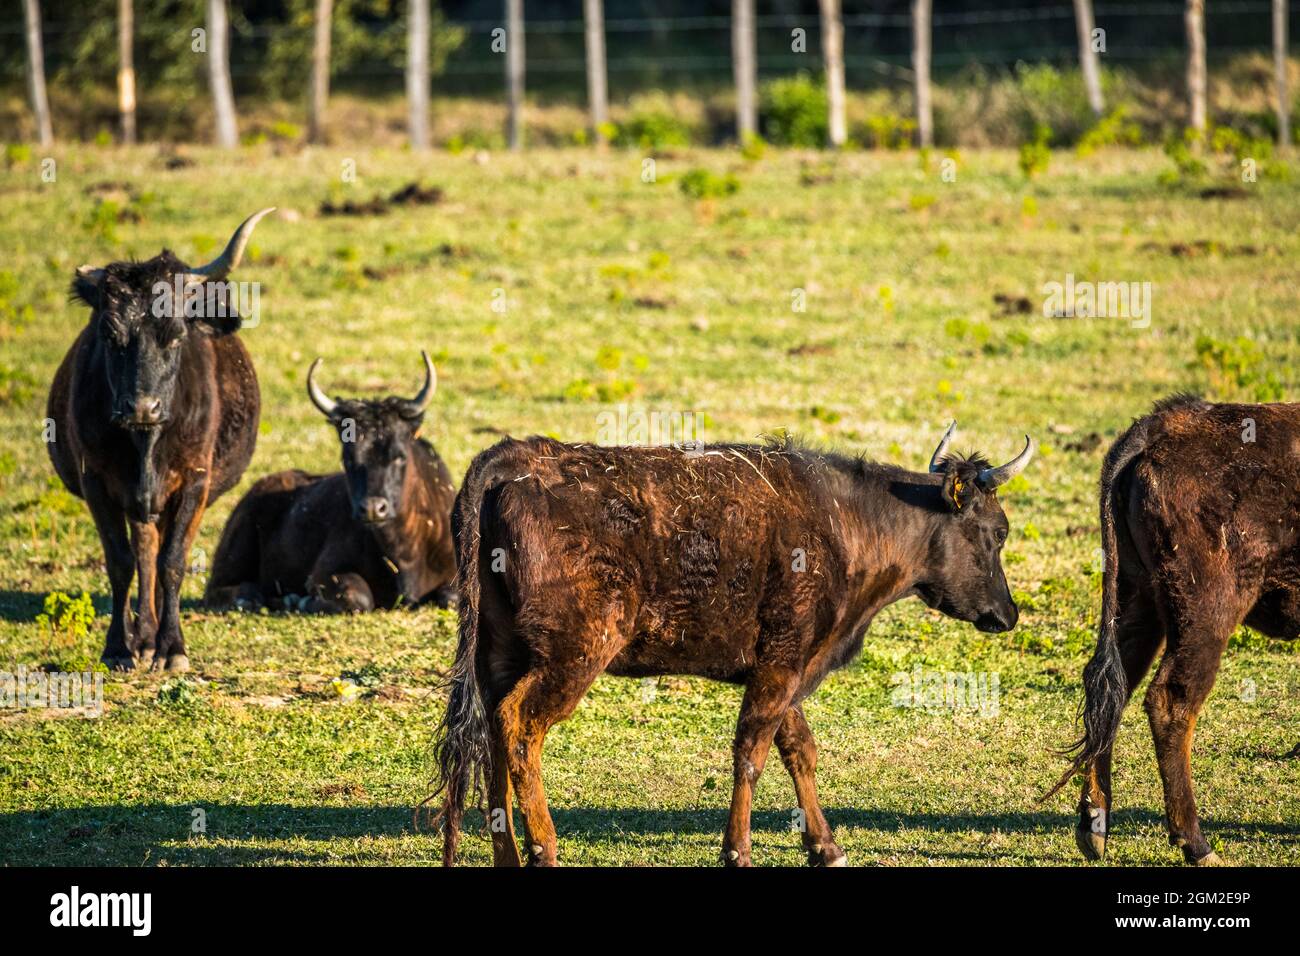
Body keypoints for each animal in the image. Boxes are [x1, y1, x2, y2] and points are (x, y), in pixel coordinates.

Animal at [47, 209, 275, 672]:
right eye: (109, 334)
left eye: (176, 334)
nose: (141, 407)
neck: (146, 442)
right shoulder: (96, 481)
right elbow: (121, 561)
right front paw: (120, 645)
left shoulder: (194, 481)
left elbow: (173, 561)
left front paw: (172, 648)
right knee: (143, 549)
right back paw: (143, 635)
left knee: (156, 550)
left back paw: (153, 638)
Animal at [203, 352, 458, 613]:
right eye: (348, 458)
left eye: (399, 455)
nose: (373, 508)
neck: (402, 552)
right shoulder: (324, 572)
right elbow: (359, 598)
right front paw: (305, 600)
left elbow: (451, 597)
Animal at [428, 425, 1035, 866]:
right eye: (998, 531)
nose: (1008, 614)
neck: (846, 525)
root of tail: (520, 456)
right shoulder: (783, 663)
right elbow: (751, 753)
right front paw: (737, 850)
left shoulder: (784, 667)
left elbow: (798, 749)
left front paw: (825, 847)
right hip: (572, 654)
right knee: (520, 726)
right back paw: (544, 850)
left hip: (500, 654)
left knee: (492, 733)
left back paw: (507, 853)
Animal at [1047, 395, 1300, 866]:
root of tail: (1165, 422)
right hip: (1207, 614)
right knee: (1170, 700)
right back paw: (1196, 843)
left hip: (1137, 602)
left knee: (1111, 691)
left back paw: (1094, 826)